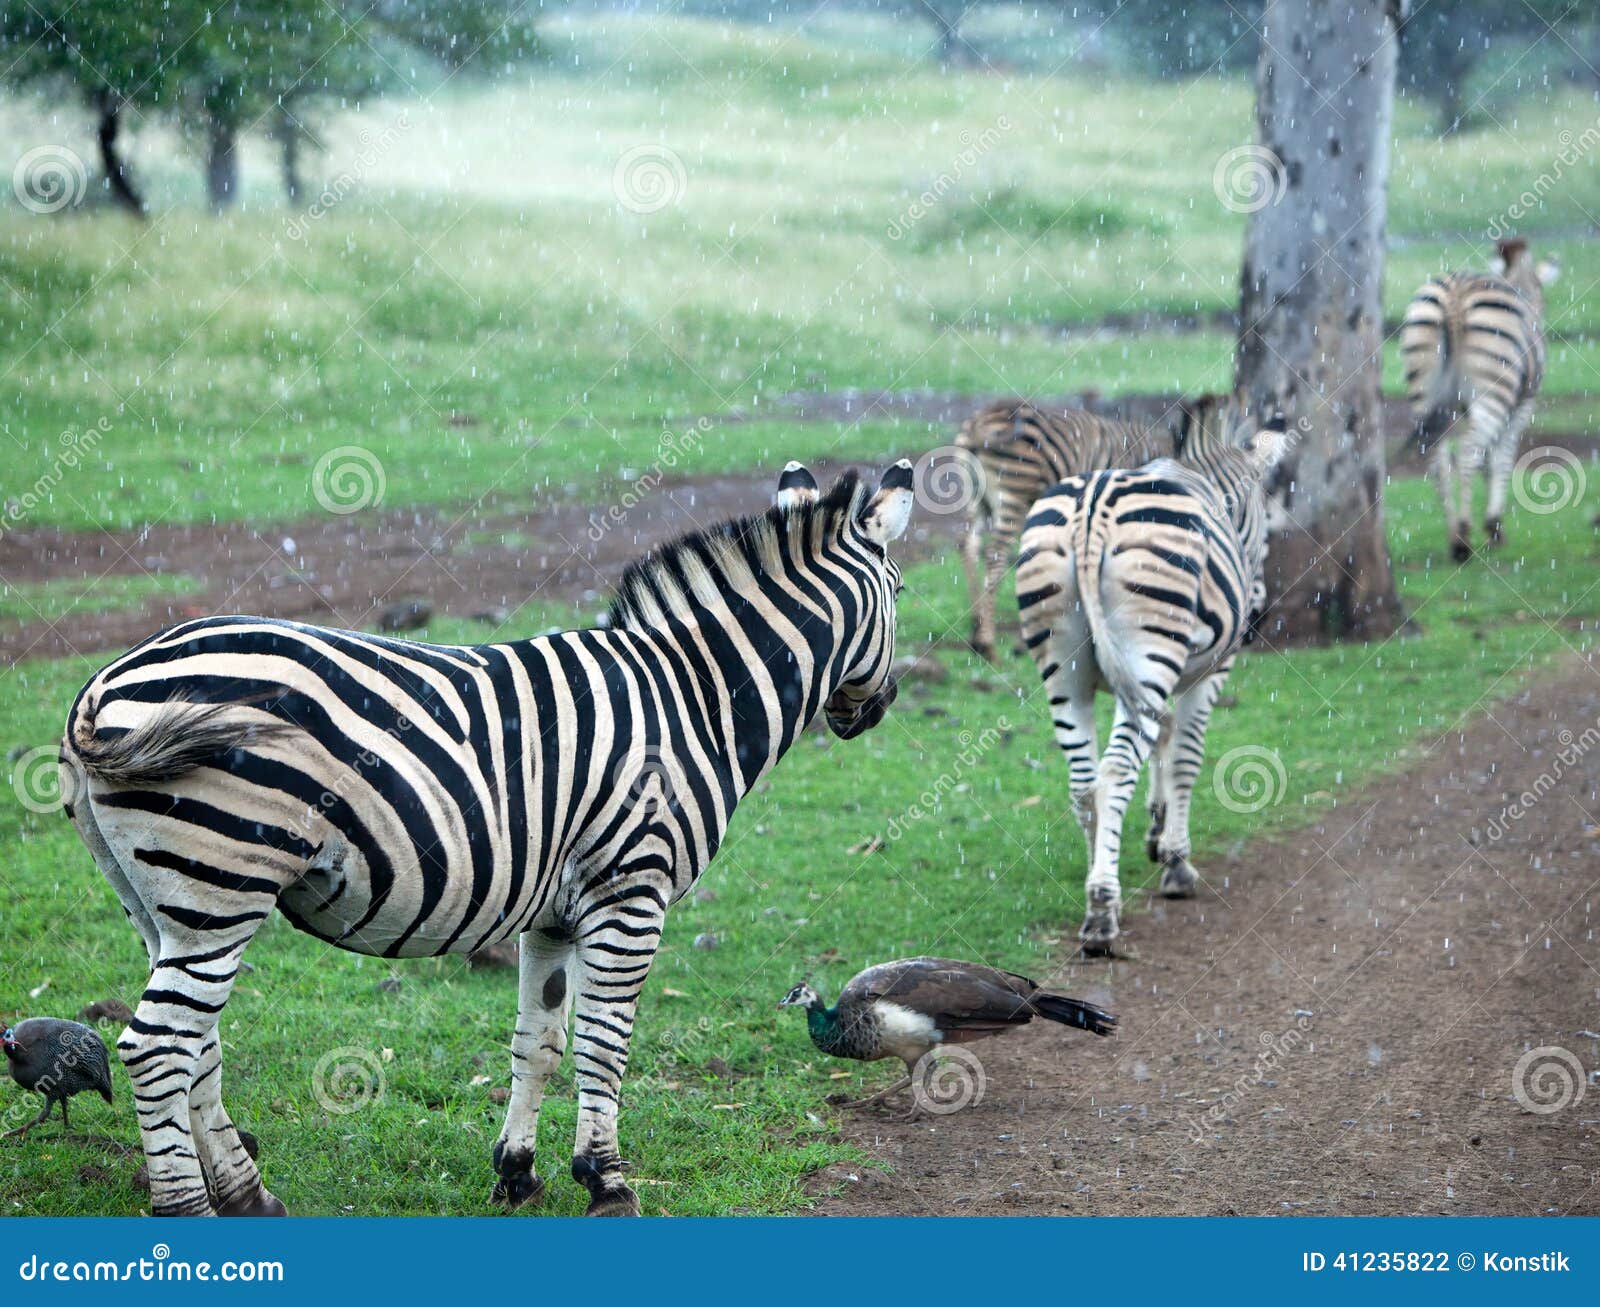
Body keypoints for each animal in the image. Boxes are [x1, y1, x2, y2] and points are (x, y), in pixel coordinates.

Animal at [57, 460, 914, 1218]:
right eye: (901, 591)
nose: (874, 708)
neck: (690, 694)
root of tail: (104, 683)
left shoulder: (555, 910)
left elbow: (539, 1040)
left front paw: (518, 1173)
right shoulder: (632, 887)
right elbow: (604, 1042)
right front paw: (608, 1182)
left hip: (163, 904)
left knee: (196, 1044)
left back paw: (248, 1194)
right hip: (221, 884)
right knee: (159, 1048)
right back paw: (185, 1208)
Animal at [954, 400, 1185, 662]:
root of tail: (979, 422)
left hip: (976, 499)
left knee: (967, 544)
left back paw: (976, 630)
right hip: (1013, 494)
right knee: (994, 555)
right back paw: (987, 644)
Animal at [1013, 395, 1291, 953]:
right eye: (1266, 533)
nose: (1258, 615)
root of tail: (1090, 512)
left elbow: (1161, 741)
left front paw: (1154, 833)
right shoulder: (1209, 671)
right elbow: (1184, 756)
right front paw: (1176, 860)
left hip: (1065, 668)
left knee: (1084, 782)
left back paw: (1100, 881)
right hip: (1147, 651)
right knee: (1115, 770)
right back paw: (1102, 909)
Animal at [1400, 237, 1559, 560]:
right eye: (1543, 299)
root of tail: (1456, 293)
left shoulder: (1461, 408)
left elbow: (1486, 460)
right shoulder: (1521, 406)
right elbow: (1501, 458)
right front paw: (1494, 526)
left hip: (1422, 388)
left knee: (1437, 457)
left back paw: (1453, 537)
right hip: (1494, 390)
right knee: (1467, 451)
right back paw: (1462, 538)